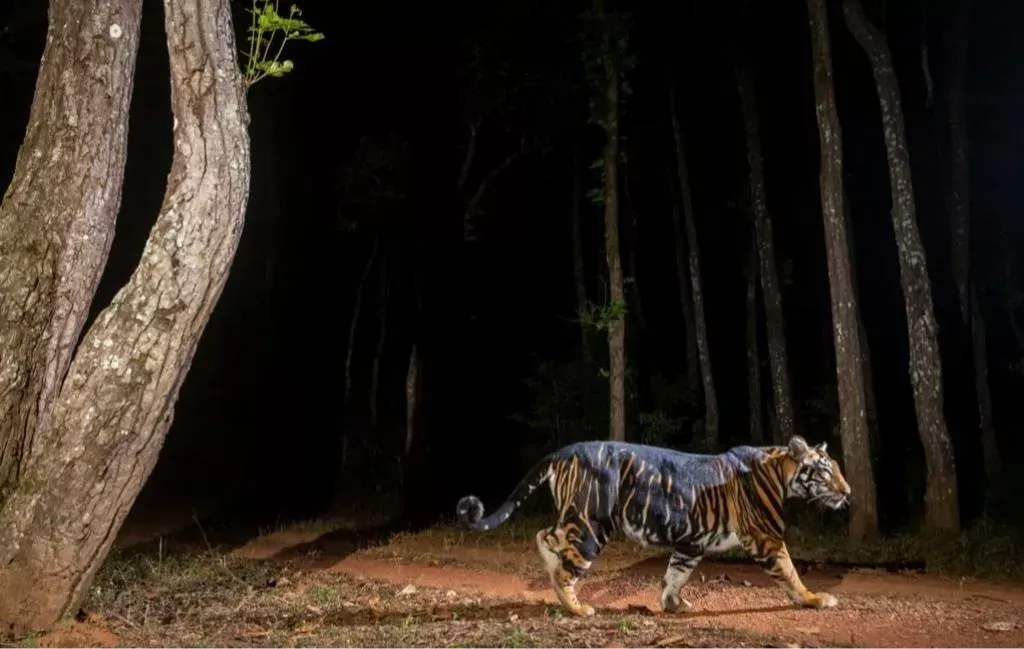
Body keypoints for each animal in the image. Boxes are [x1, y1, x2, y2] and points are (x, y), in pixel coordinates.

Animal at [455, 435, 850, 617]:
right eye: (825, 471)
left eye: (836, 469)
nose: (847, 492)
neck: (781, 471)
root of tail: (564, 450)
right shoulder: (767, 537)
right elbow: (790, 572)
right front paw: (814, 599)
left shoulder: (691, 543)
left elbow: (675, 574)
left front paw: (674, 604)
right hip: (591, 524)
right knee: (562, 558)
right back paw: (577, 606)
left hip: (576, 518)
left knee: (547, 537)